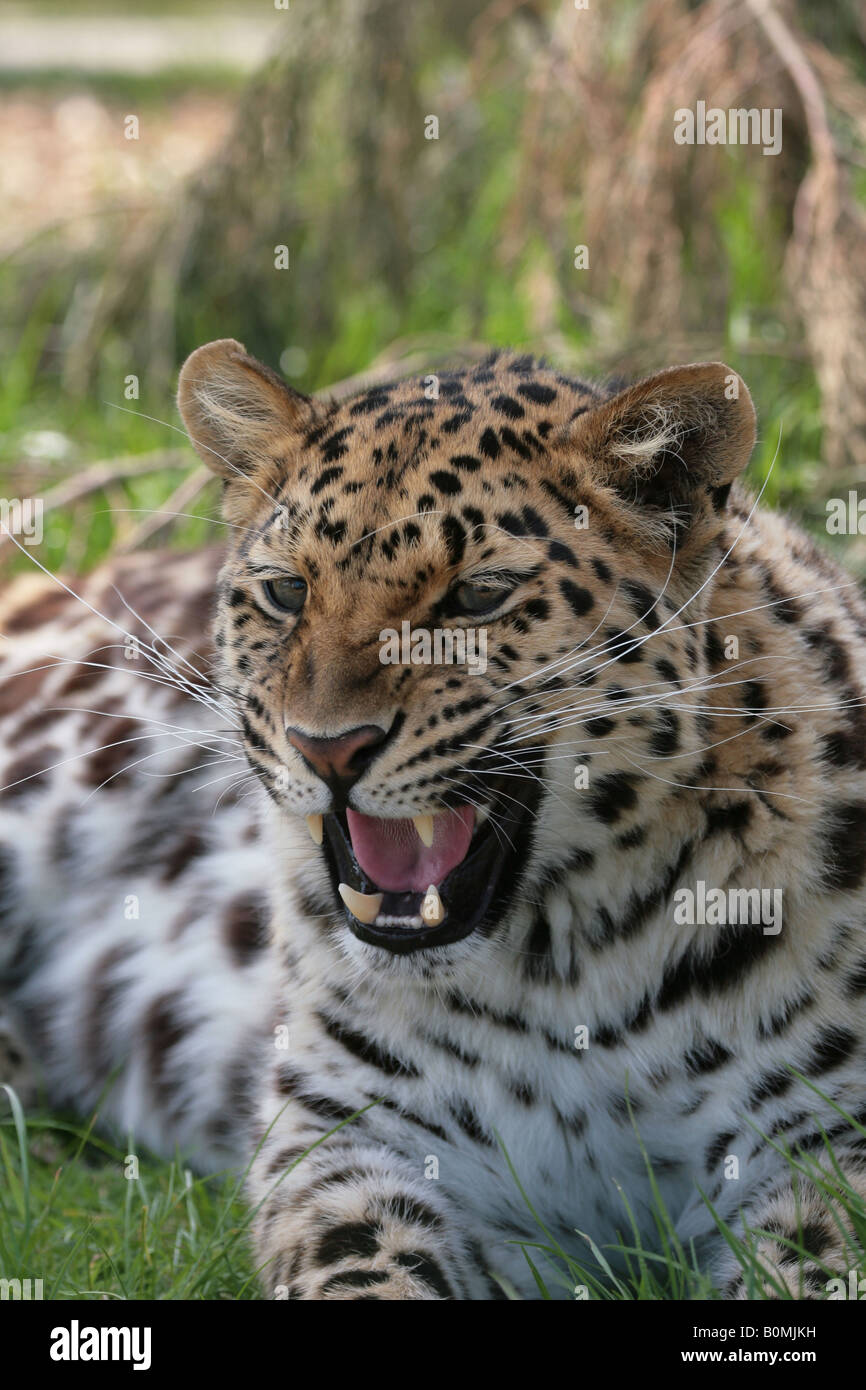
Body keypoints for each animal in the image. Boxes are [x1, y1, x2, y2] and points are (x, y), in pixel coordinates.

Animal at [2, 337, 866, 1301]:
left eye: (479, 596)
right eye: (286, 592)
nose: (327, 749)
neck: (563, 970)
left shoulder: (823, 1143)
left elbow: (815, 1266)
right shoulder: (348, 1136)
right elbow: (362, 1266)